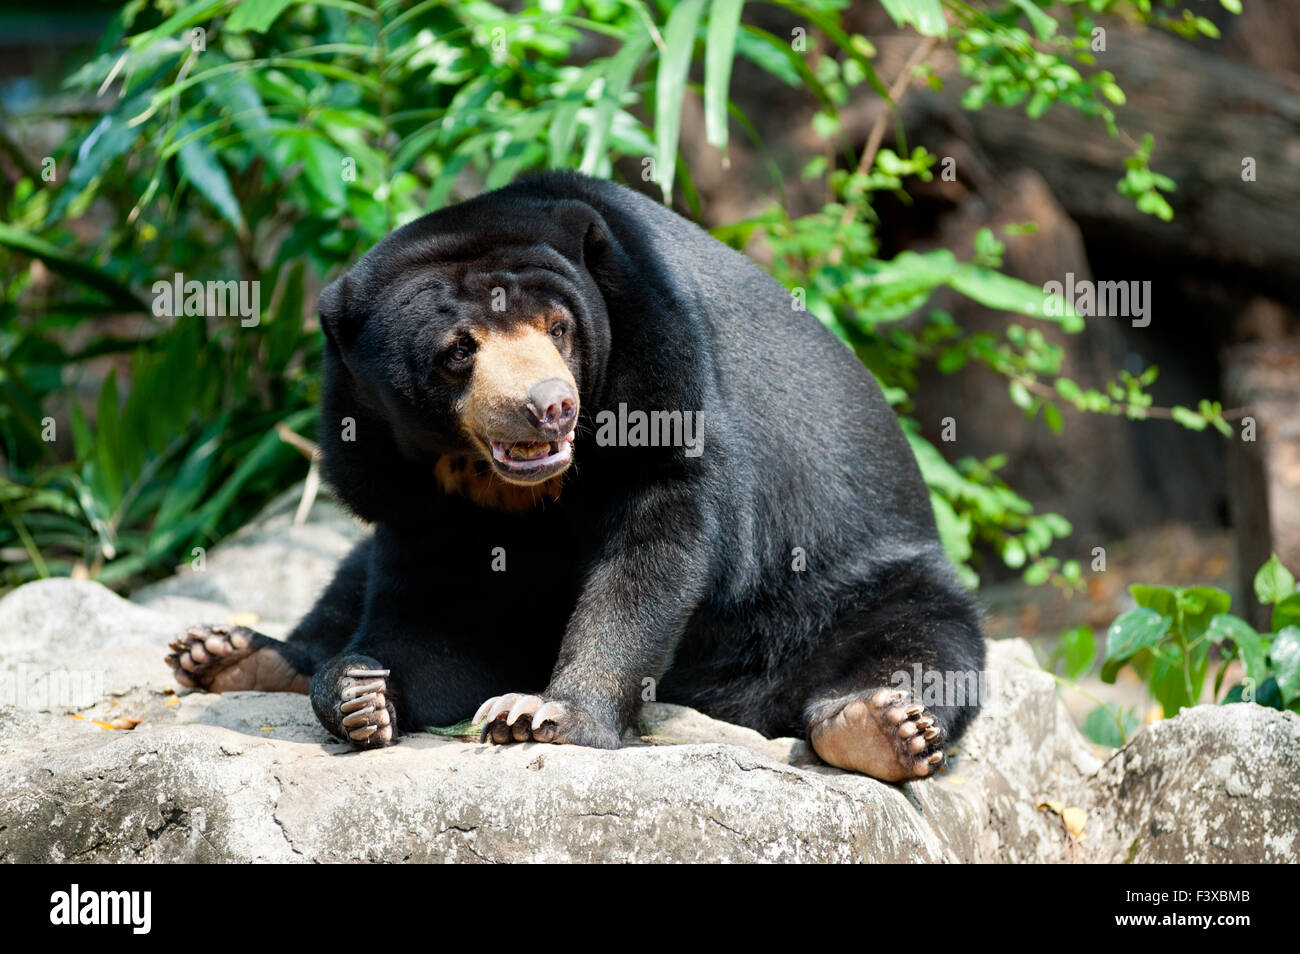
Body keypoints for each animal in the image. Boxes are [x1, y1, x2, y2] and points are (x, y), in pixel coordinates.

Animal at [166, 171, 985, 782]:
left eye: (559, 328)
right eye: (459, 349)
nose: (549, 406)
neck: (507, 487)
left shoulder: (662, 361)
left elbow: (653, 541)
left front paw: (542, 714)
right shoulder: (400, 483)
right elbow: (437, 613)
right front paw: (361, 695)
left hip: (846, 584)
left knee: (925, 644)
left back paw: (877, 727)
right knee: (343, 583)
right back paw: (227, 656)